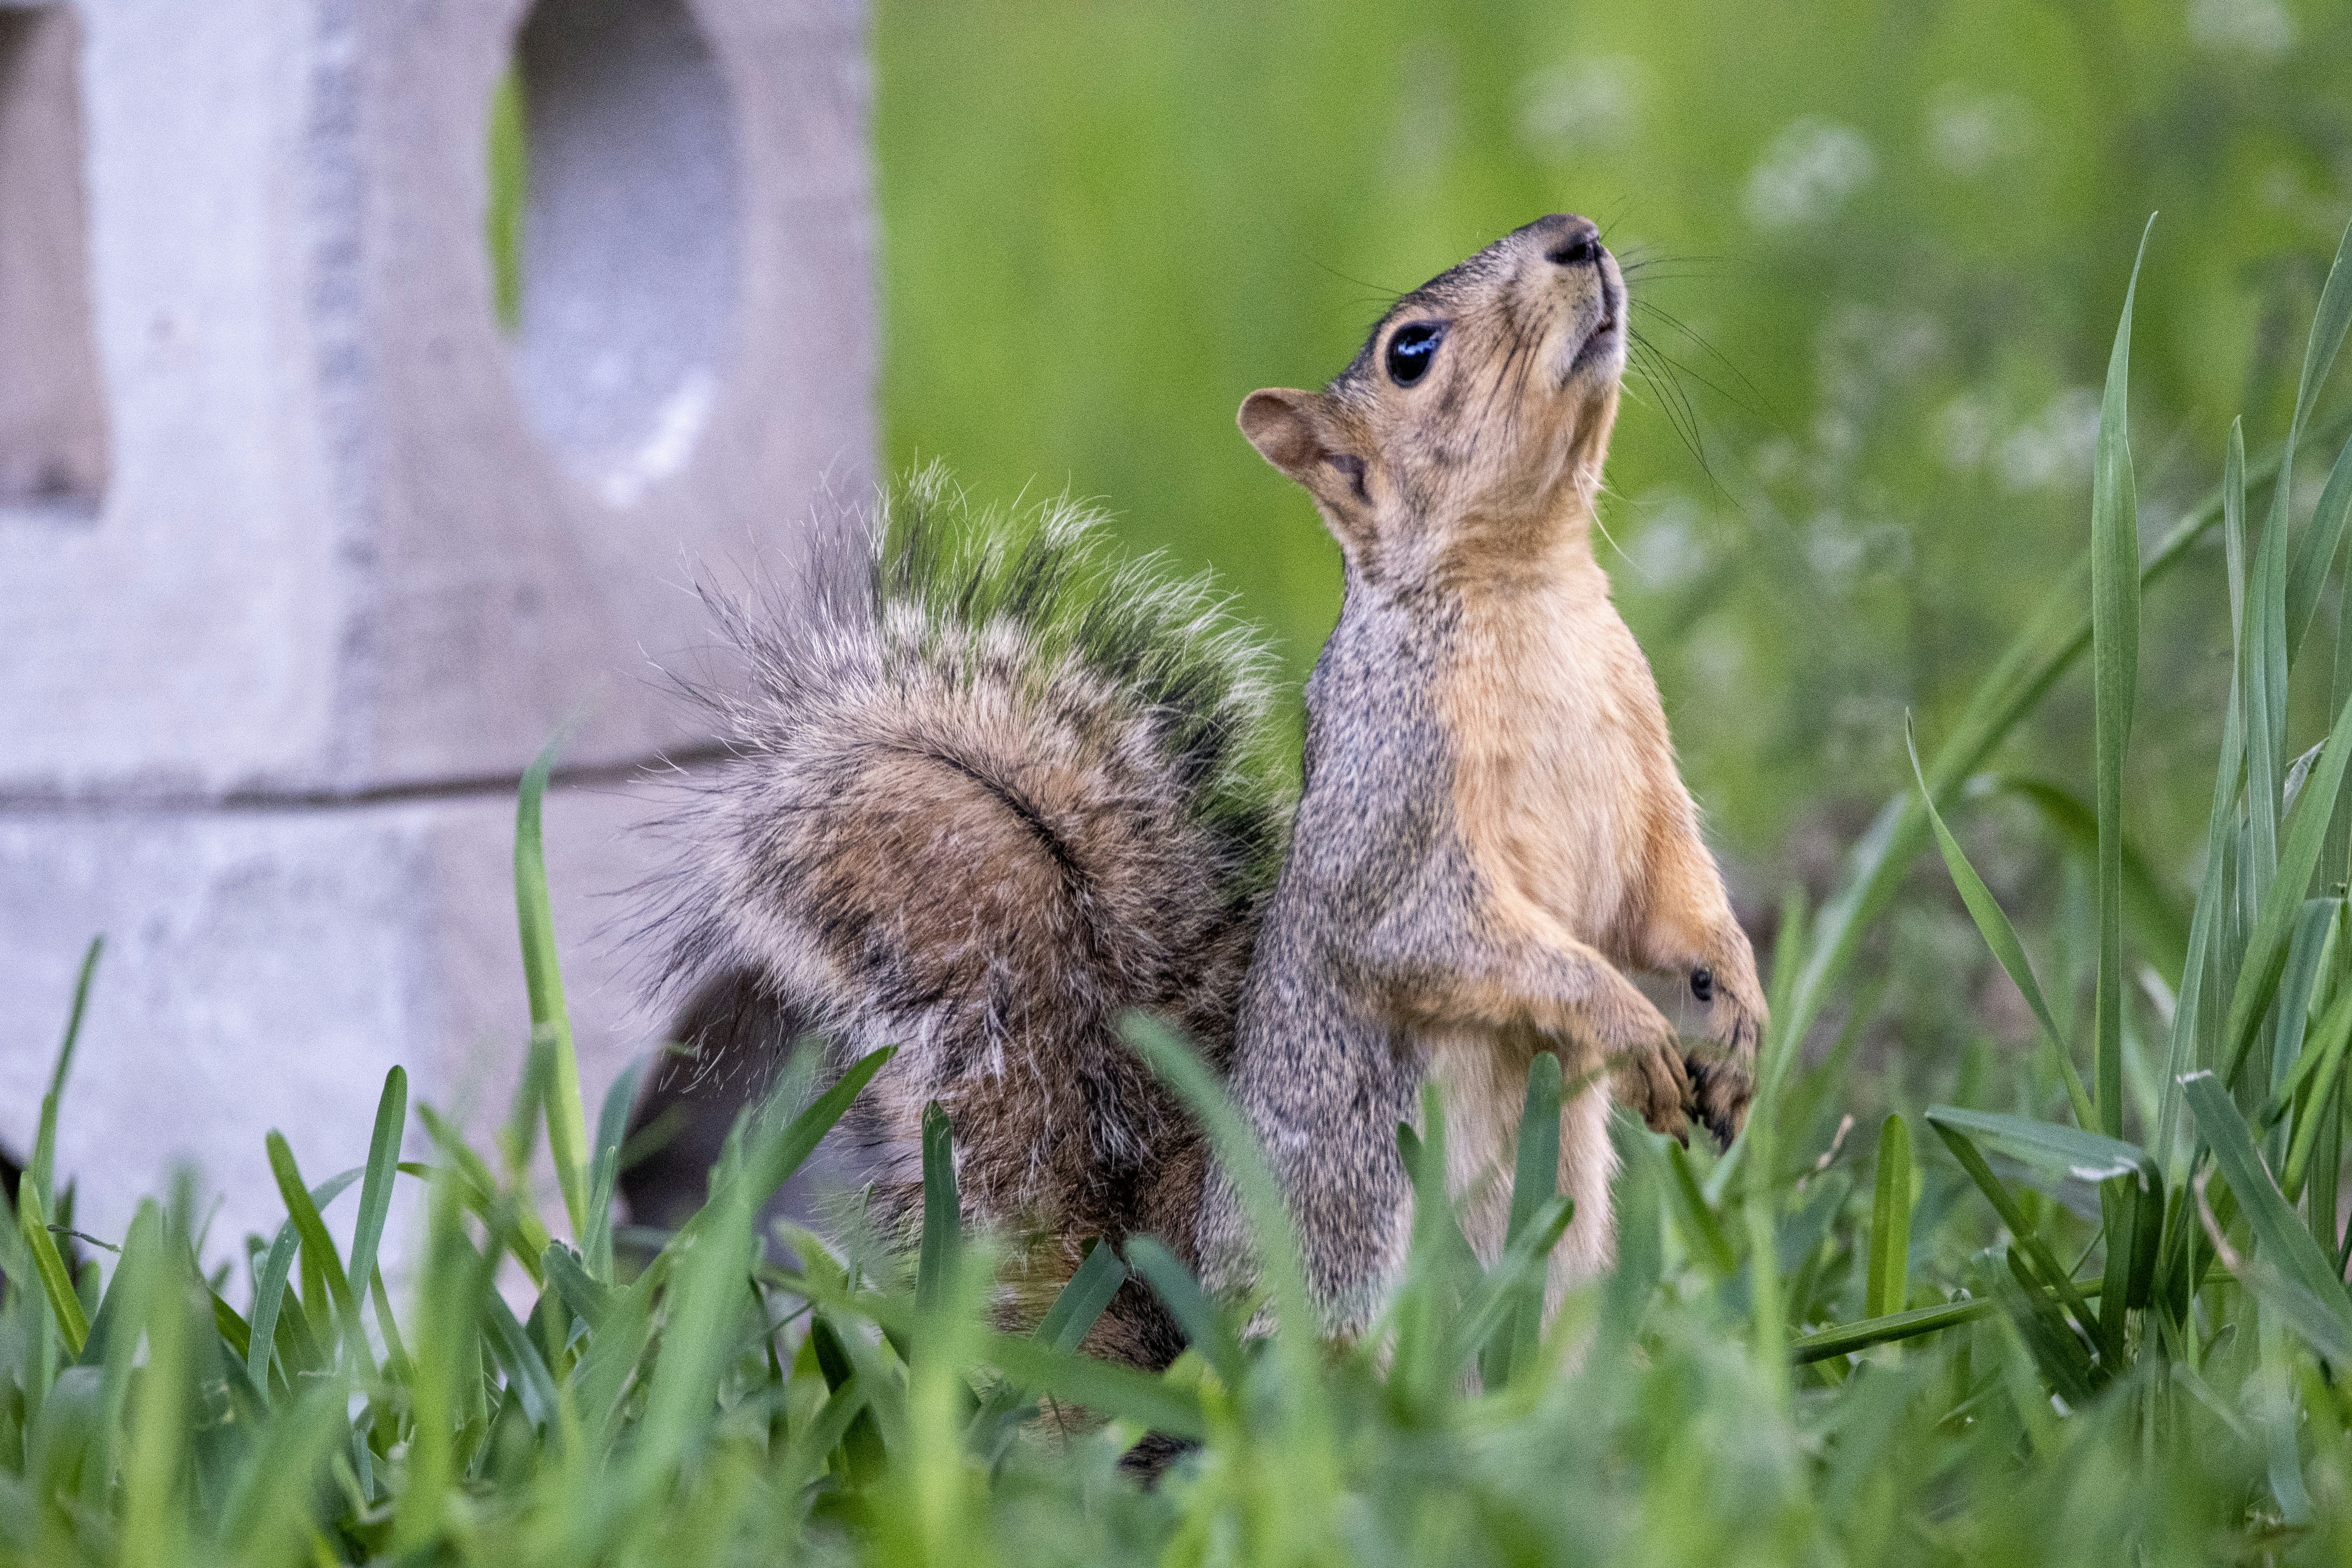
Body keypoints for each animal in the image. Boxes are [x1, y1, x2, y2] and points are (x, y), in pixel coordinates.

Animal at [632, 212, 1764, 1361]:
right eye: (1409, 352)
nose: (1576, 236)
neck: (1526, 587)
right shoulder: (1390, 801)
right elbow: (1431, 932)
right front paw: (1628, 1024)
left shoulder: (1644, 780)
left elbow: (1670, 903)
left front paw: (1734, 1017)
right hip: (1351, 1280)